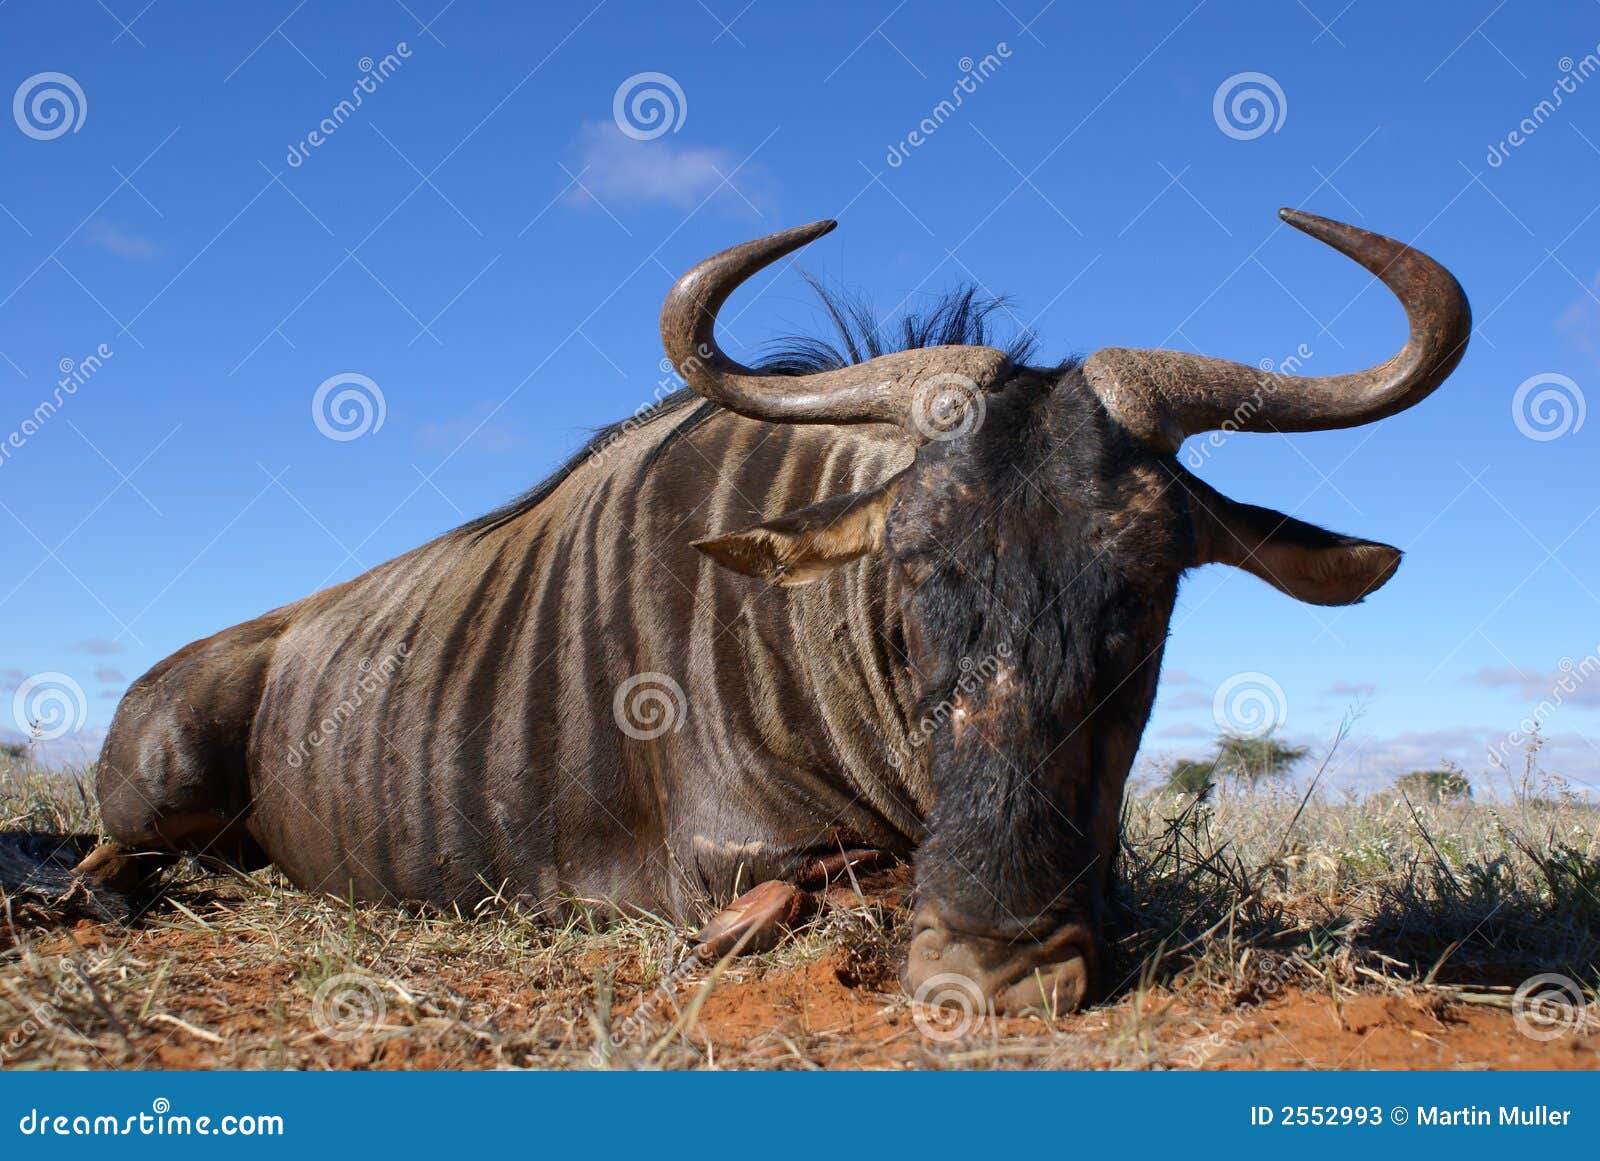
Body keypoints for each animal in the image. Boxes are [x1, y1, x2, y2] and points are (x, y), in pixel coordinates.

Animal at [68, 208, 1467, 1014]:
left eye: (1146, 583)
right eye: (909, 569)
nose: (997, 967)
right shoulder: (730, 850)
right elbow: (829, 887)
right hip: (155, 792)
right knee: (106, 864)